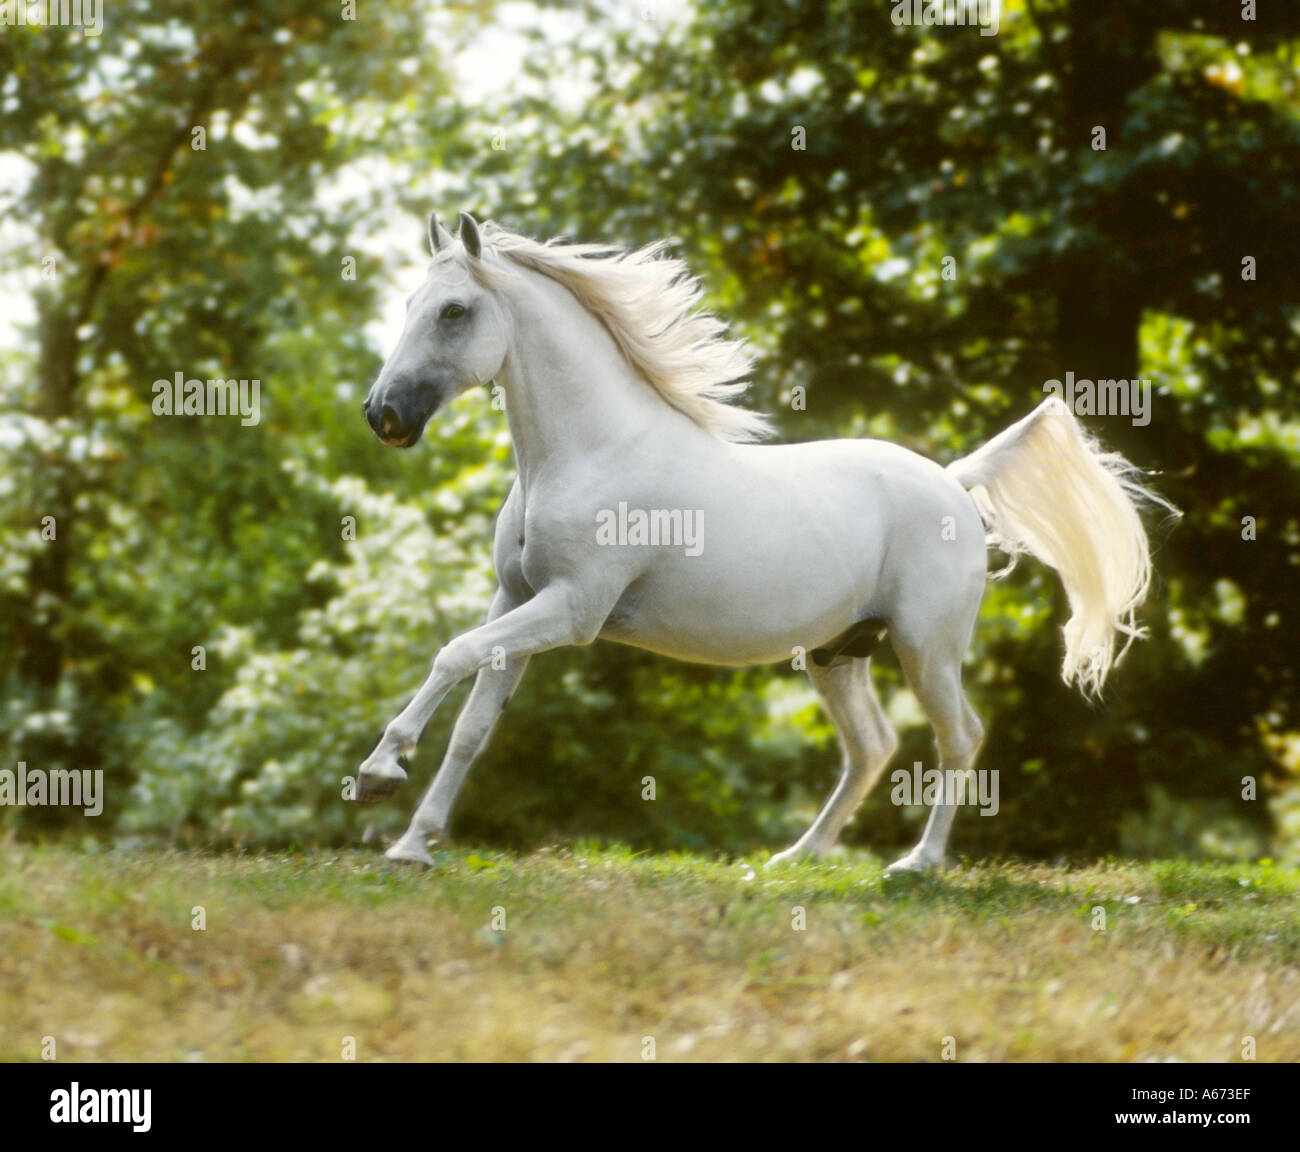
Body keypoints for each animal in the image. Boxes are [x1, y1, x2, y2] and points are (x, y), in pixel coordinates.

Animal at [357, 211, 1176, 874]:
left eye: (454, 310)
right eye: (409, 305)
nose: (382, 415)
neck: (591, 450)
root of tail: (953, 481)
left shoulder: (571, 610)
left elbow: (452, 654)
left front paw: (379, 774)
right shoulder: (517, 599)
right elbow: (472, 725)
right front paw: (412, 843)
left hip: (927, 648)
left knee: (958, 737)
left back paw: (917, 864)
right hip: (838, 651)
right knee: (872, 745)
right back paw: (797, 856)